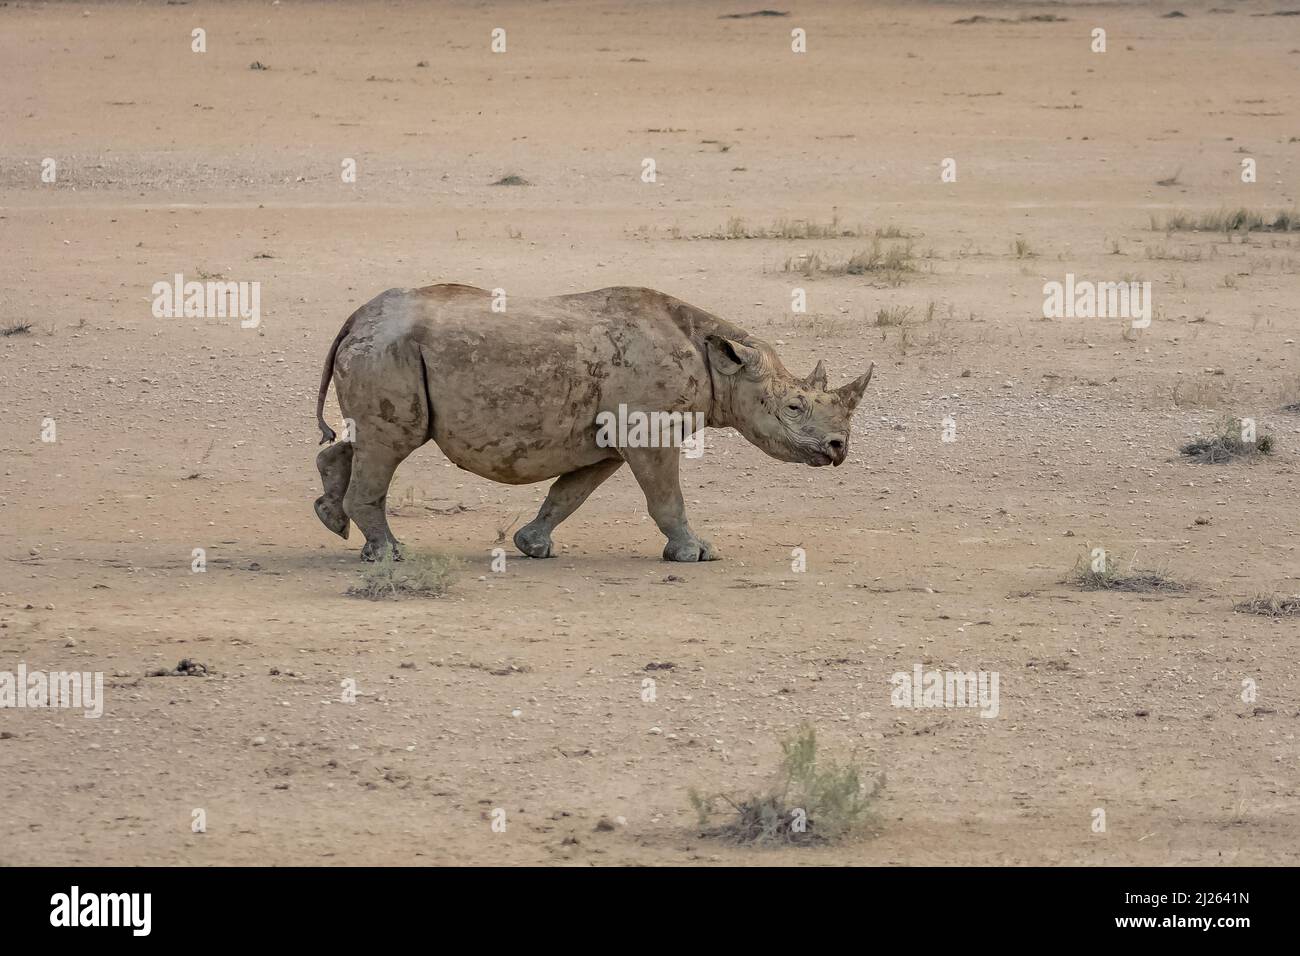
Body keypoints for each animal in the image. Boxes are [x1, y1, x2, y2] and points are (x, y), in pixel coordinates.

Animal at [313, 284, 872, 562]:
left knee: (364, 439)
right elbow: (666, 498)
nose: (838, 448)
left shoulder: (609, 436)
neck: (724, 365)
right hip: (389, 351)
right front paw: (696, 554)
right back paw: (390, 554)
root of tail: (355, 318)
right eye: (794, 407)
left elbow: (569, 494)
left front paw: (532, 547)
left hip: (386, 350)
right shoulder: (649, 430)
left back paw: (334, 522)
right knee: (391, 442)